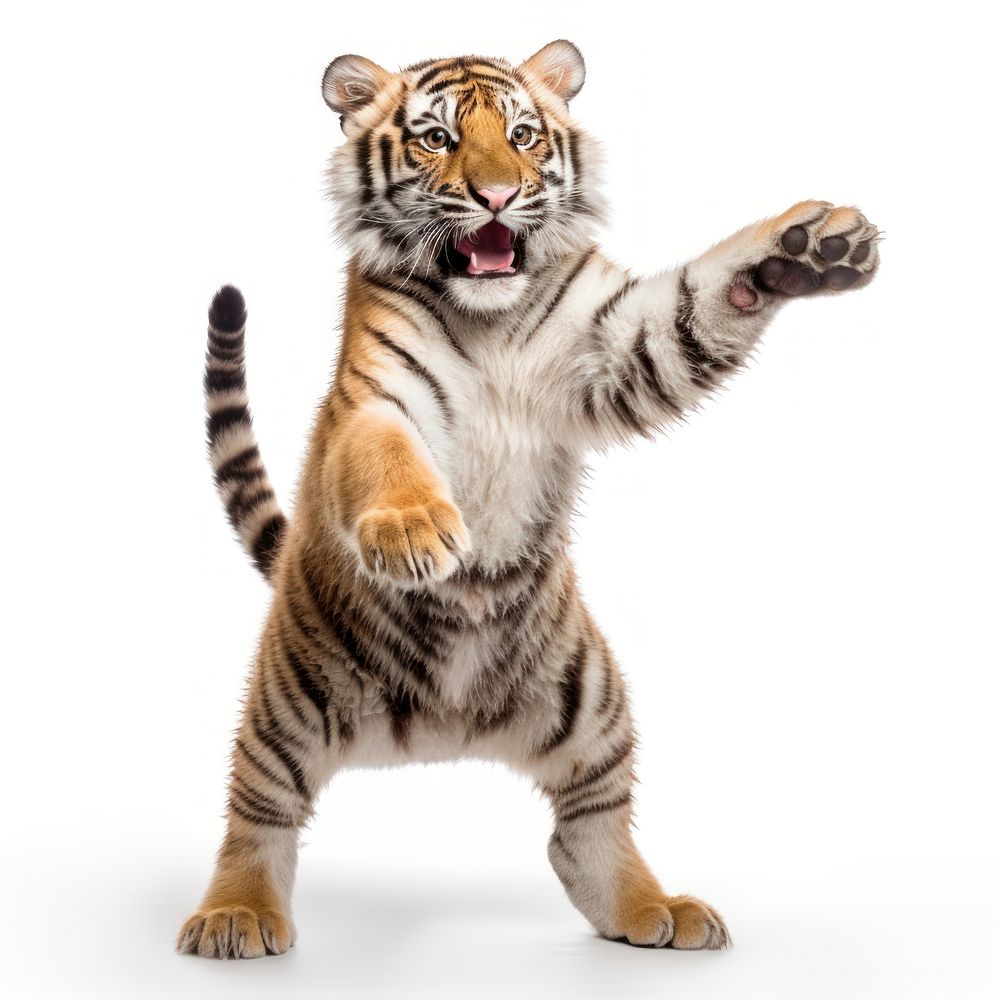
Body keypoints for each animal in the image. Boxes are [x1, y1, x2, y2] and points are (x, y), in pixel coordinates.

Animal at [178, 39, 880, 959]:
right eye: (437, 138)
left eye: (523, 136)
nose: (497, 196)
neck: (492, 318)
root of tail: (440, 733)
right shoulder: (378, 398)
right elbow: (385, 456)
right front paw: (414, 530)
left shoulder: (617, 347)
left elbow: (694, 304)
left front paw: (809, 247)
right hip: (289, 704)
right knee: (259, 815)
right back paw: (236, 914)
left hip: (593, 703)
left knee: (586, 830)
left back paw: (651, 908)